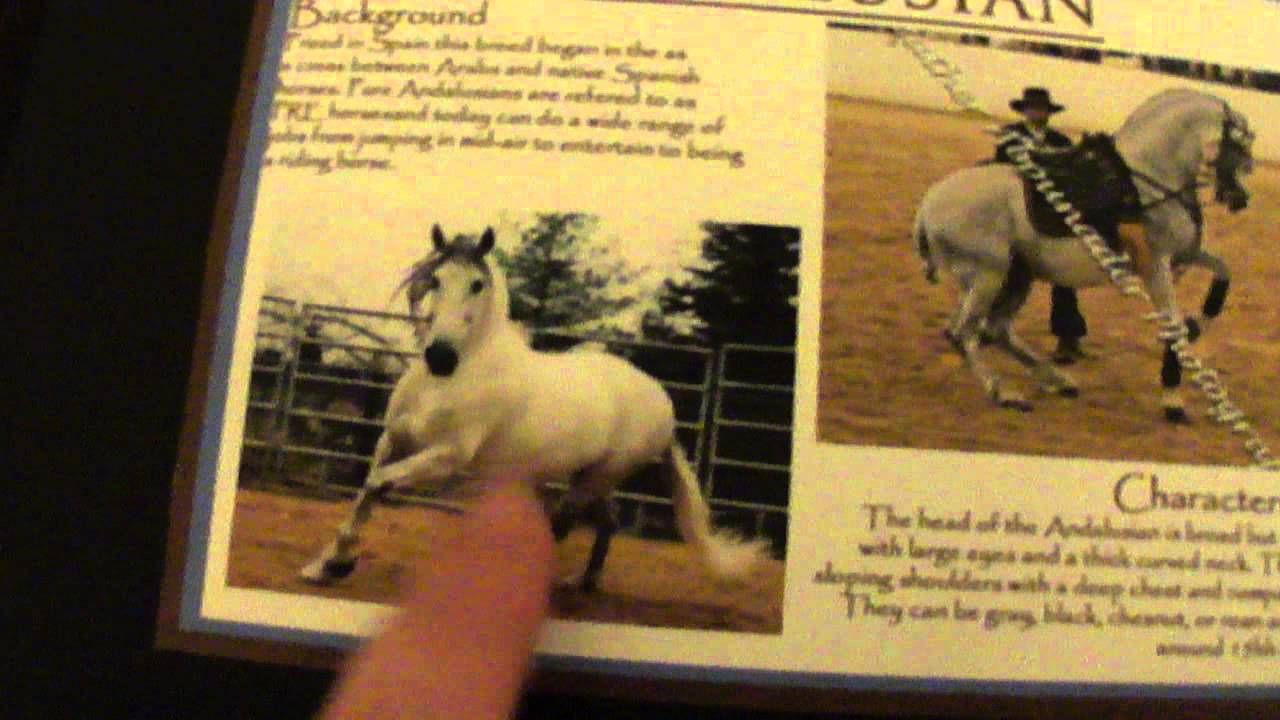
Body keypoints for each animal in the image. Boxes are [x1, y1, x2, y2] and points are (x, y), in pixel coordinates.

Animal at [299, 224, 768, 591]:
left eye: (477, 284)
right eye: (435, 280)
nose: (440, 356)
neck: (453, 377)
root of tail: (660, 400)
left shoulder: (447, 456)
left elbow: (379, 484)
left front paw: (340, 563)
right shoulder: (393, 440)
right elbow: (367, 490)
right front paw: (326, 566)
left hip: (599, 476)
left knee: (562, 525)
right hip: (593, 475)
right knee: (607, 522)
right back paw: (583, 583)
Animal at [913, 88, 1255, 419]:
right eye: (1238, 144)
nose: (1239, 199)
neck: (1148, 180)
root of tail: (928, 205)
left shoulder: (1185, 253)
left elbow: (1223, 274)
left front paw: (1197, 324)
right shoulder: (1156, 266)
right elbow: (1173, 326)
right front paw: (1172, 400)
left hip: (1016, 276)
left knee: (994, 329)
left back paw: (1057, 380)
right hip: (988, 276)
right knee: (967, 331)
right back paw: (1005, 392)